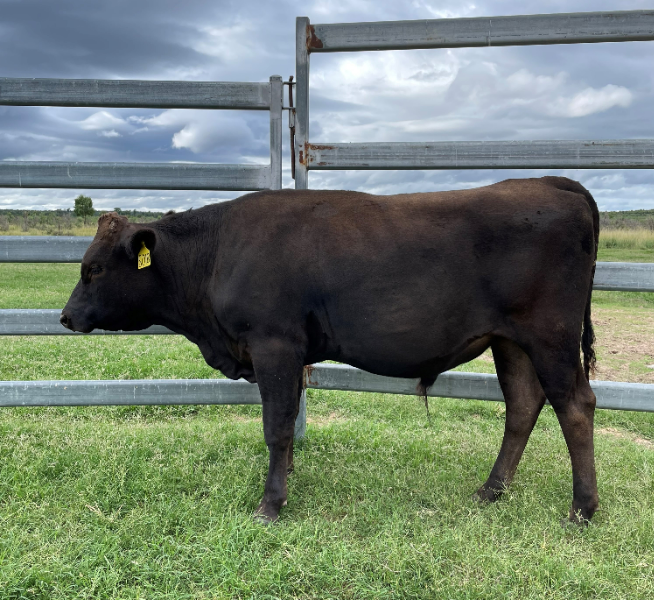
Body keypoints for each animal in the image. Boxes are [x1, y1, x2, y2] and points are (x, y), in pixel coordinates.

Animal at [60, 176, 599, 525]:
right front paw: (286, 479)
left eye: (94, 269)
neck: (214, 254)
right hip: (511, 342)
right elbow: (285, 428)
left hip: (550, 336)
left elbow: (276, 427)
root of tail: (551, 183)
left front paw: (270, 504)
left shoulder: (274, 344)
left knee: (575, 406)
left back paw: (582, 509)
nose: (66, 317)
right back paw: (491, 491)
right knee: (523, 405)